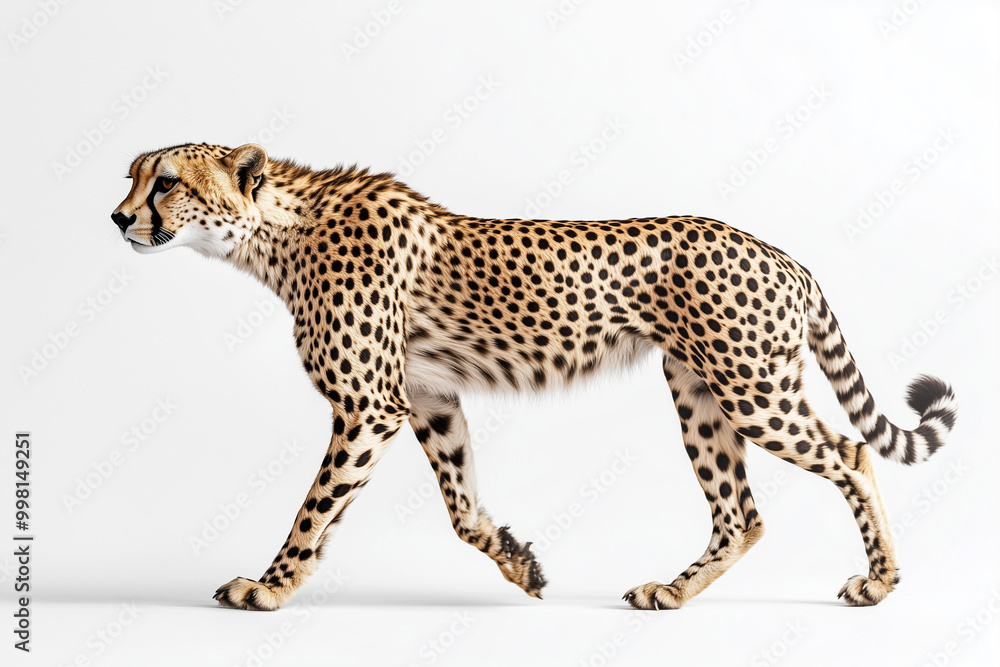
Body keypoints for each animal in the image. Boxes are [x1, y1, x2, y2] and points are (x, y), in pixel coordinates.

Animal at [112, 142, 957, 611]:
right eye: (133, 177)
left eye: (166, 182)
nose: (119, 217)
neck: (275, 232)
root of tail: (782, 251)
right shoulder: (427, 396)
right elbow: (461, 506)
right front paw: (519, 560)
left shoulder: (368, 406)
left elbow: (314, 511)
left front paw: (269, 587)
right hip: (698, 391)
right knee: (739, 513)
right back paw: (671, 591)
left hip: (752, 390)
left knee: (851, 453)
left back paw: (879, 582)